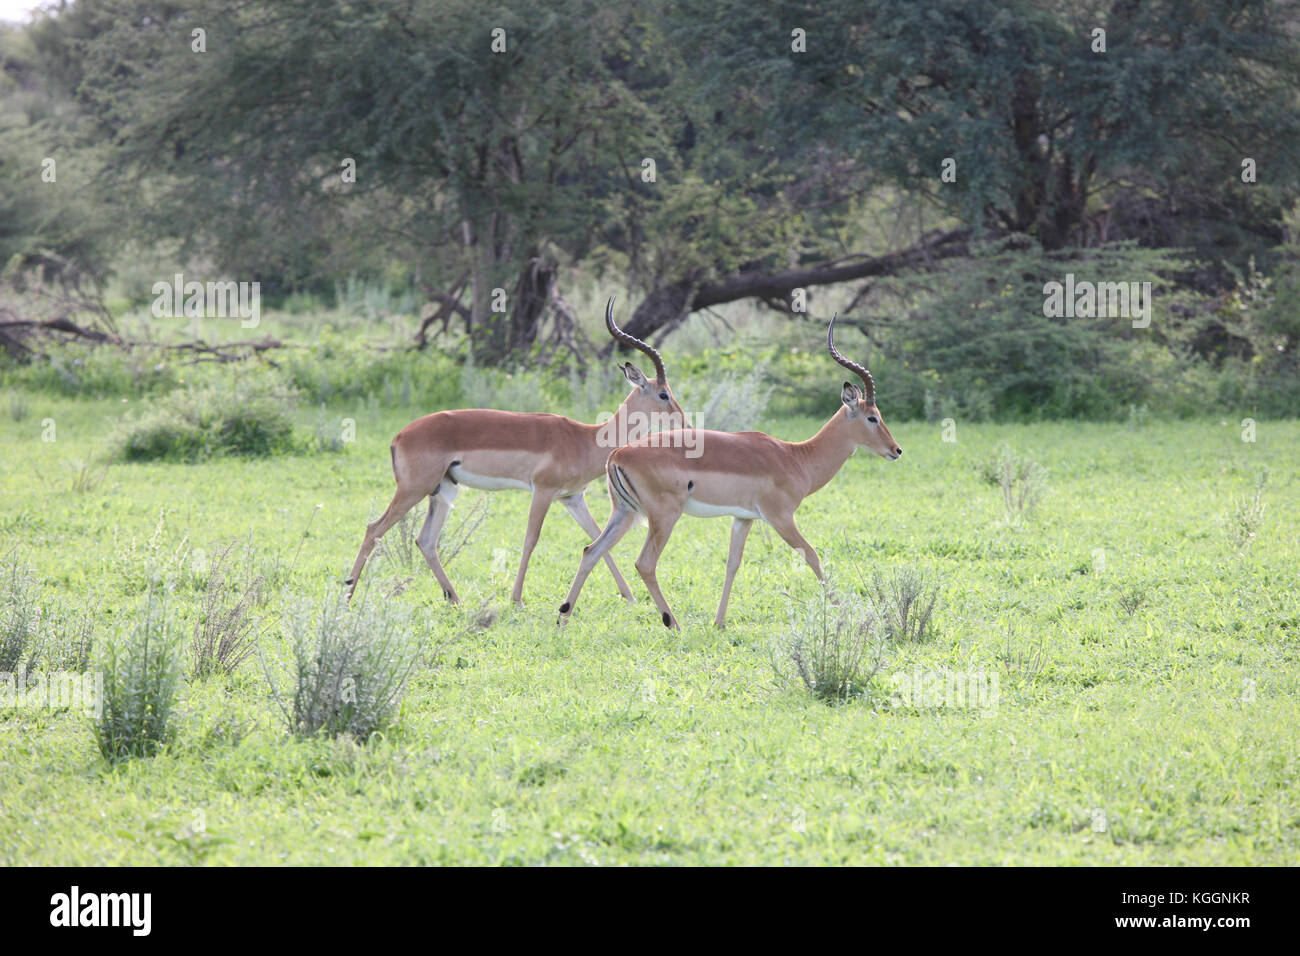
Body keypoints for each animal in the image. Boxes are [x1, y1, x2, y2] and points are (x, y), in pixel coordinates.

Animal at [345, 299, 685, 605]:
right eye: (663, 394)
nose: (684, 421)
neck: (585, 438)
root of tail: (399, 436)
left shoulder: (572, 497)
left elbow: (596, 536)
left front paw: (629, 596)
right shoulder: (543, 491)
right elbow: (531, 540)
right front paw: (517, 599)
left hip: (443, 490)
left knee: (425, 541)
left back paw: (455, 599)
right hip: (413, 489)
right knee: (374, 529)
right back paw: (347, 598)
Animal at [558, 315, 902, 630]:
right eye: (872, 417)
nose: (896, 450)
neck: (796, 457)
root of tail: (618, 453)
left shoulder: (743, 518)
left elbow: (732, 564)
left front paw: (719, 622)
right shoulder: (780, 517)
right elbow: (812, 555)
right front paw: (844, 616)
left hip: (626, 513)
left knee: (591, 550)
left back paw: (563, 617)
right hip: (663, 516)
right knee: (644, 563)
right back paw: (673, 623)